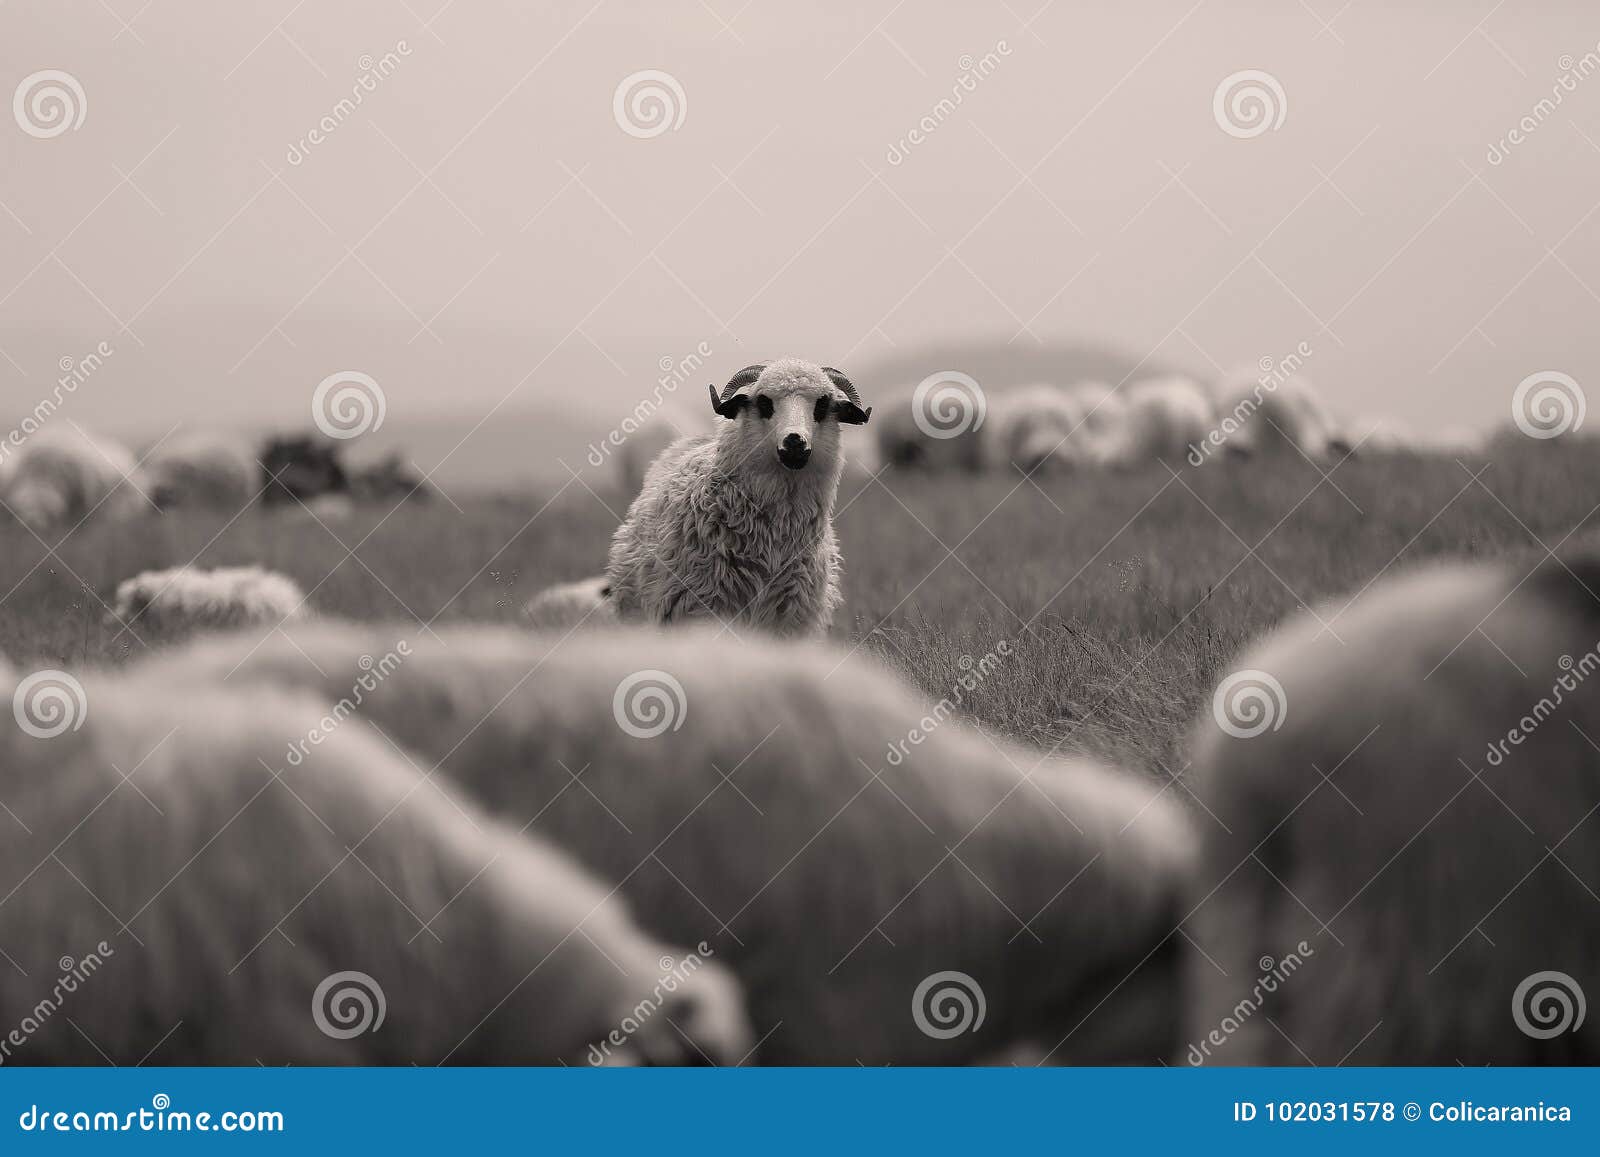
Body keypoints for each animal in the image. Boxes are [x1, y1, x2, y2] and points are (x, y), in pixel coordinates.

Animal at [606, 360, 871, 637]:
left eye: (822, 404)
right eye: (764, 402)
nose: (795, 443)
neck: (773, 541)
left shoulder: (790, 618)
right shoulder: (702, 606)